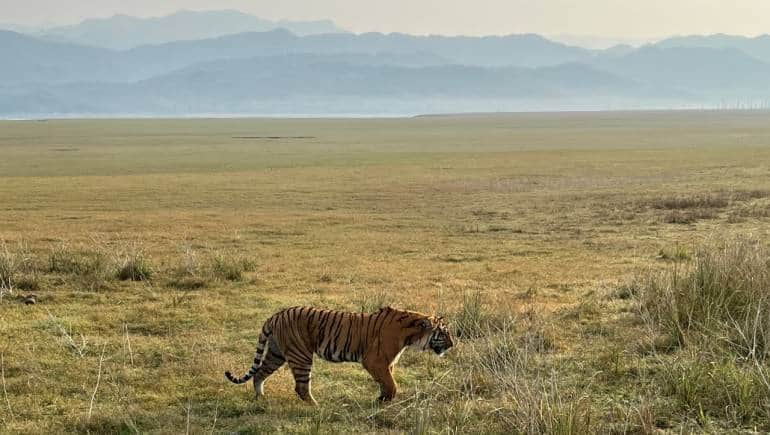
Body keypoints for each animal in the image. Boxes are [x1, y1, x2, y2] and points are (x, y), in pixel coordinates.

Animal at [225, 306, 453, 404]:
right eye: (444, 333)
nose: (452, 345)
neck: (411, 336)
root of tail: (275, 315)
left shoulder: (387, 364)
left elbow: (386, 382)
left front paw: (381, 400)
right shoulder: (375, 361)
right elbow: (391, 384)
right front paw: (385, 401)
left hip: (276, 353)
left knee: (259, 373)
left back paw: (260, 398)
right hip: (301, 355)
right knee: (301, 387)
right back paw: (316, 407)